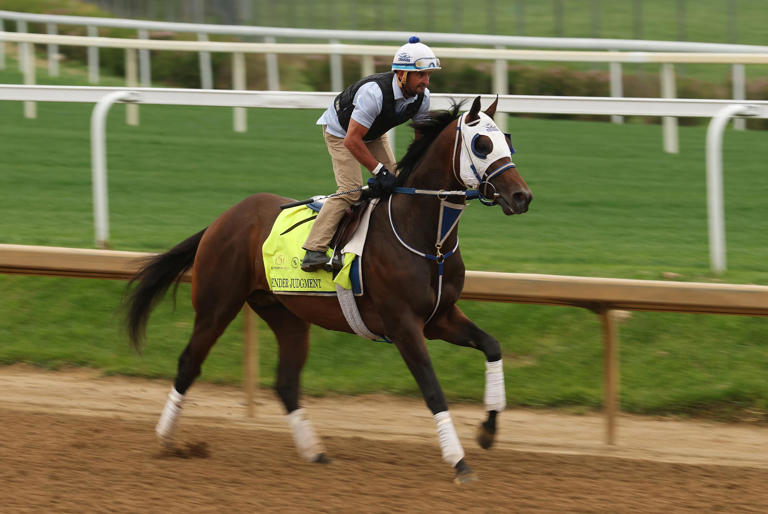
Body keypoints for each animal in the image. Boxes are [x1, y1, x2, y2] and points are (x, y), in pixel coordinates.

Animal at [124, 96, 532, 484]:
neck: (425, 237)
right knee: (189, 363)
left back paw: (314, 450)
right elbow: (432, 389)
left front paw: (488, 430)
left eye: (507, 139)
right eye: (482, 144)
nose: (521, 196)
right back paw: (166, 440)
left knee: (286, 383)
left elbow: (492, 346)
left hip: (285, 314)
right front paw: (459, 462)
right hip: (217, 305)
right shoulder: (403, 325)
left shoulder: (441, 317)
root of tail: (222, 219)